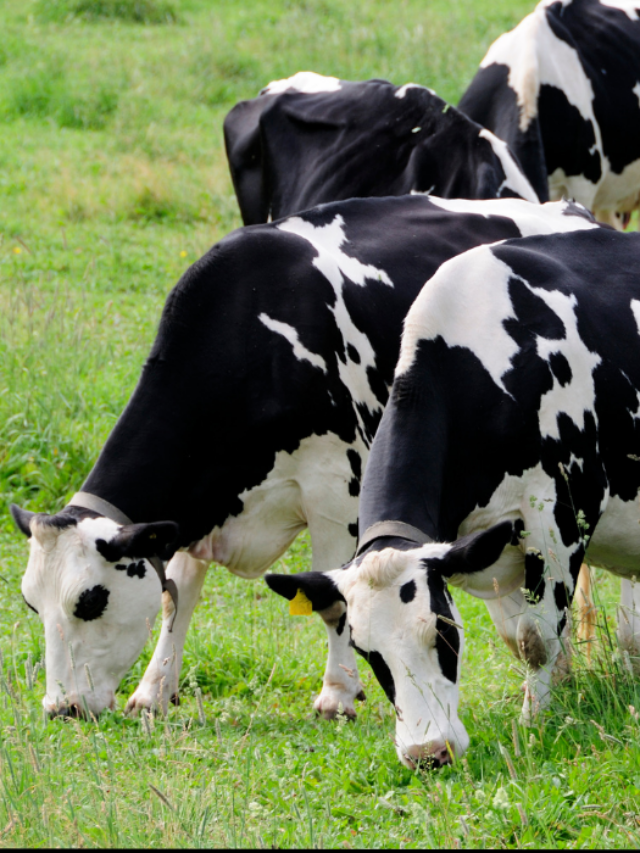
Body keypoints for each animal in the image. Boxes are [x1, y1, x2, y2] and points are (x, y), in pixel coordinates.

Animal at [10, 195, 598, 721]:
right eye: (32, 604)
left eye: (89, 601)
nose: (60, 708)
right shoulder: (199, 502)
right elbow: (178, 595)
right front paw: (154, 691)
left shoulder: (336, 494)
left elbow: (332, 600)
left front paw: (337, 696)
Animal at [266, 225, 640, 767]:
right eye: (367, 652)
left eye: (444, 630)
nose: (428, 753)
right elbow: (519, 637)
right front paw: (561, 692)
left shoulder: (562, 515)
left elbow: (536, 638)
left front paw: (534, 721)